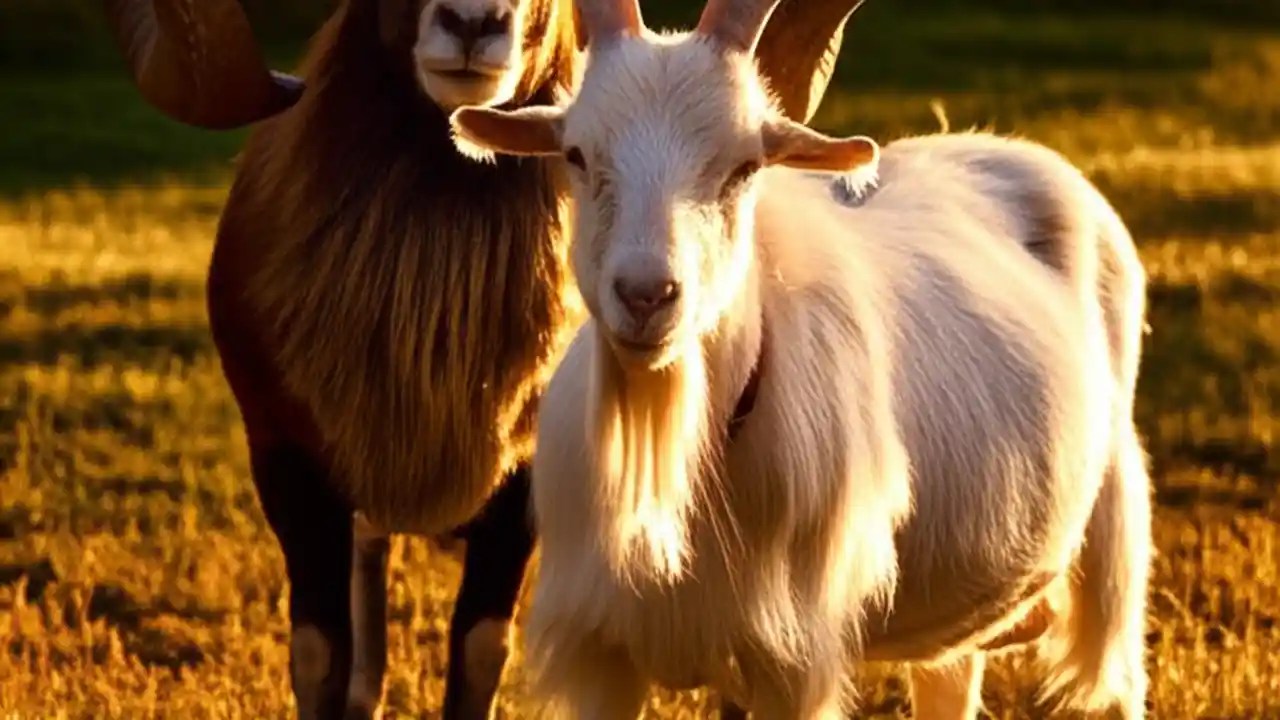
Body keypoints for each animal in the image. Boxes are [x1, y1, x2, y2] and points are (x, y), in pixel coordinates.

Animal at [450, 0, 1154, 717]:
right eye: (576, 153)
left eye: (745, 166)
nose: (646, 294)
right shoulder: (600, 652)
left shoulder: (793, 659)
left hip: (1115, 539)